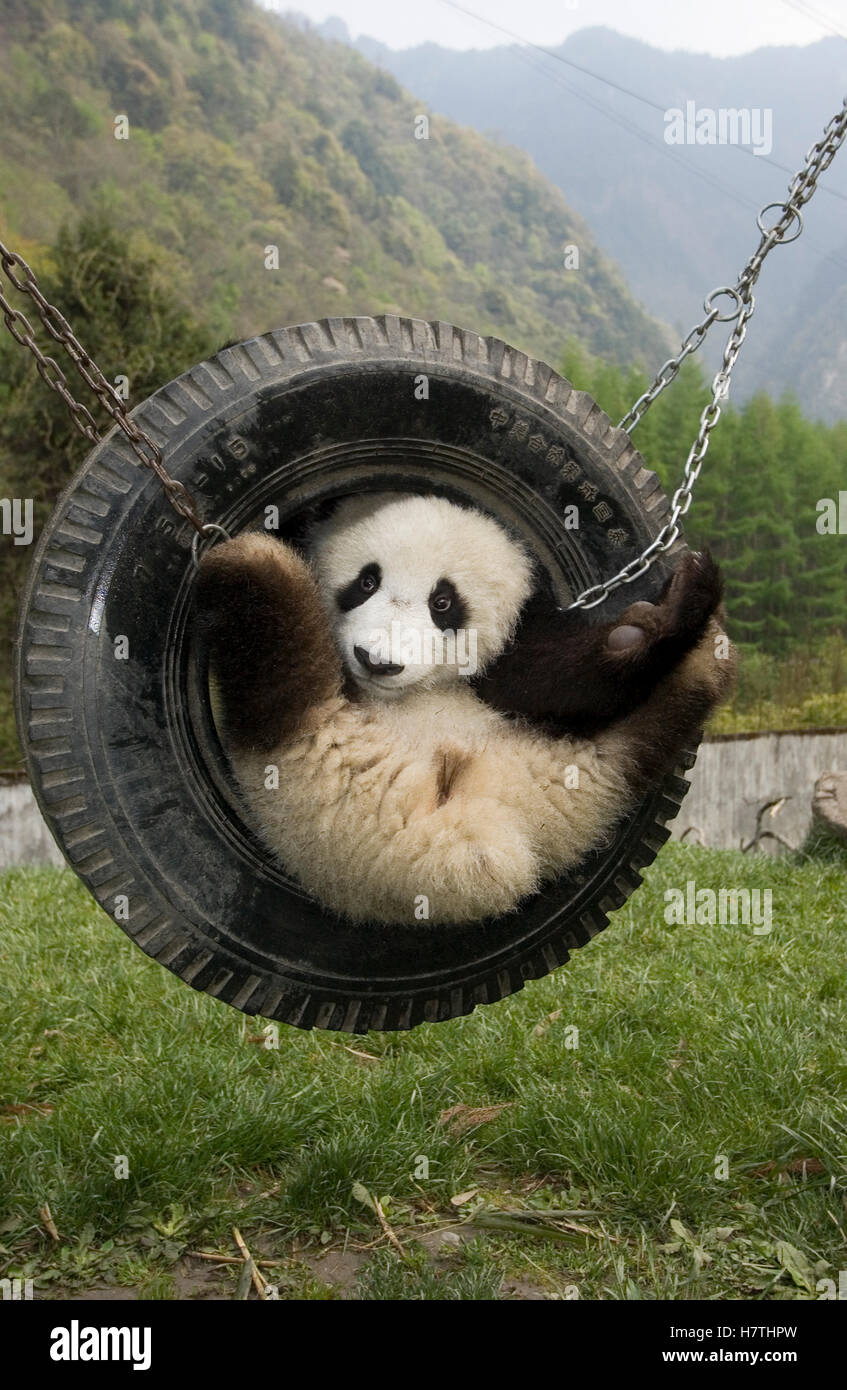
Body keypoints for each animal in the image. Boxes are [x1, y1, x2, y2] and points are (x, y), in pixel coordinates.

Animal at [194, 492, 736, 925]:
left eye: (443, 603)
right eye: (366, 581)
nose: (377, 662)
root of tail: (463, 846)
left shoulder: (508, 661)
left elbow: (562, 679)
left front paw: (651, 624)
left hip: (573, 774)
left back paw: (690, 633)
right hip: (310, 763)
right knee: (281, 637)